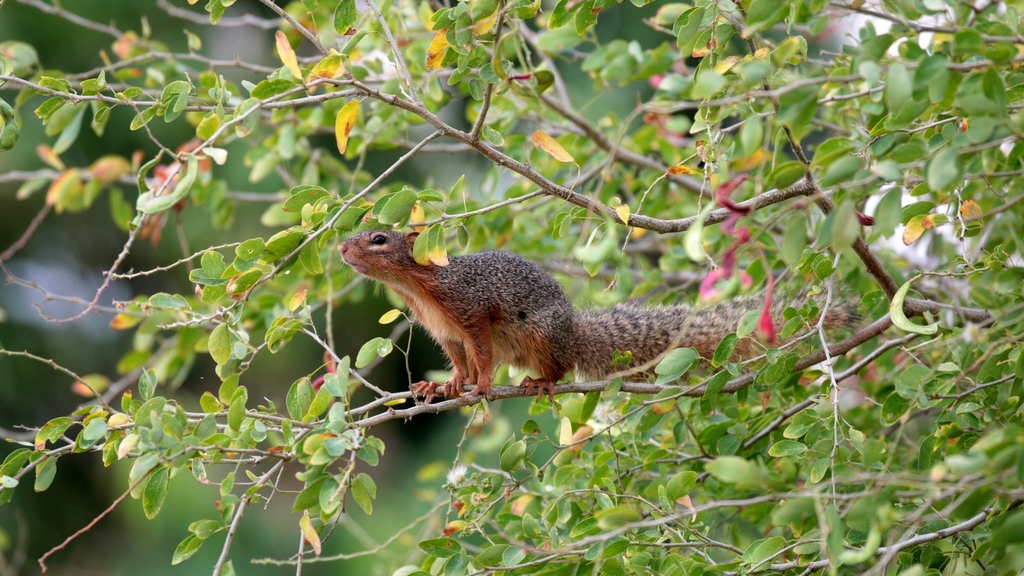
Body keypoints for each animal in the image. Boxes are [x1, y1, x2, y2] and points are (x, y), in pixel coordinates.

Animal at [339, 229, 856, 402]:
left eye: (379, 239)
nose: (342, 248)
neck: (422, 290)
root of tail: (573, 333)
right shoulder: (447, 335)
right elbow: (460, 363)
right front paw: (445, 387)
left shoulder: (473, 311)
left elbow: (481, 355)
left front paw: (482, 385)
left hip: (541, 333)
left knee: (560, 367)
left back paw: (542, 382)